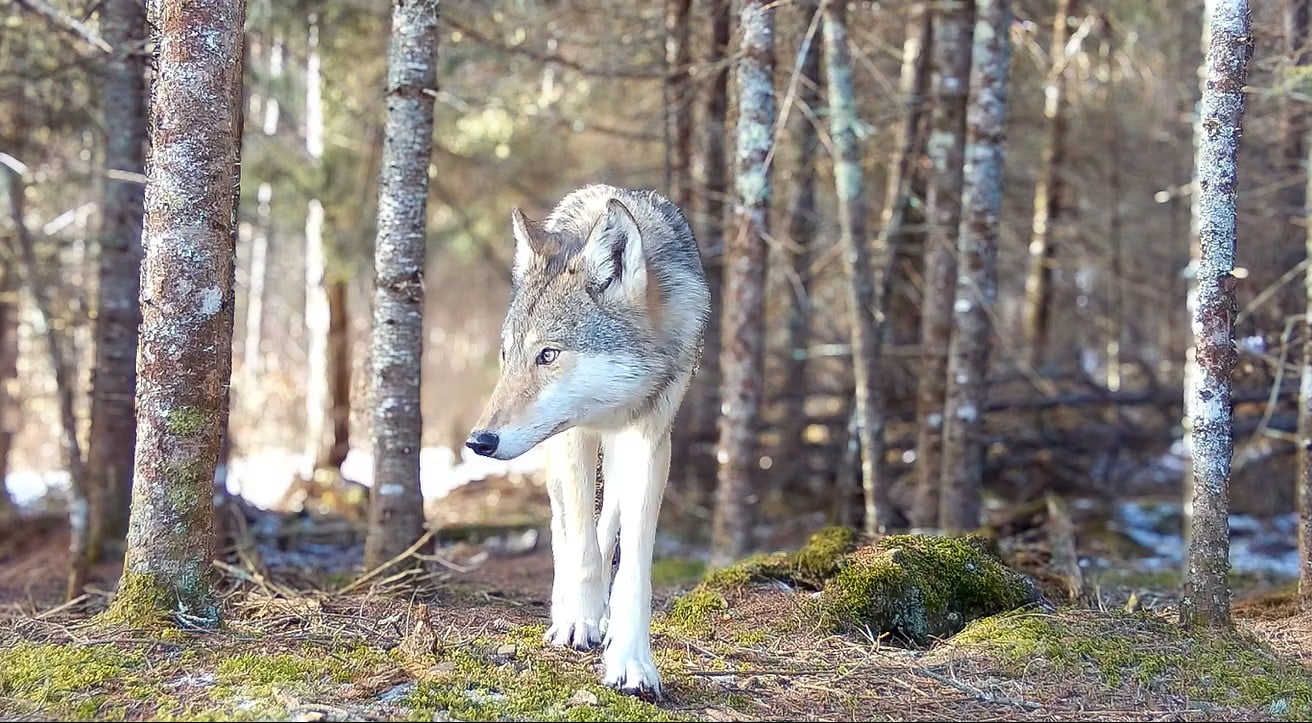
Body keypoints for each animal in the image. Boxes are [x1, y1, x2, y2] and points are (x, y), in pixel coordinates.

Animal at [465, 183, 711, 696]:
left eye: (548, 354)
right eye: (507, 355)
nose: (478, 441)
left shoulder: (651, 439)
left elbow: (632, 562)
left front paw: (632, 660)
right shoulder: (572, 435)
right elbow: (577, 540)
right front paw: (578, 621)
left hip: (618, 453)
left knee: (608, 523)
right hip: (557, 451)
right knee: (565, 529)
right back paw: (574, 610)